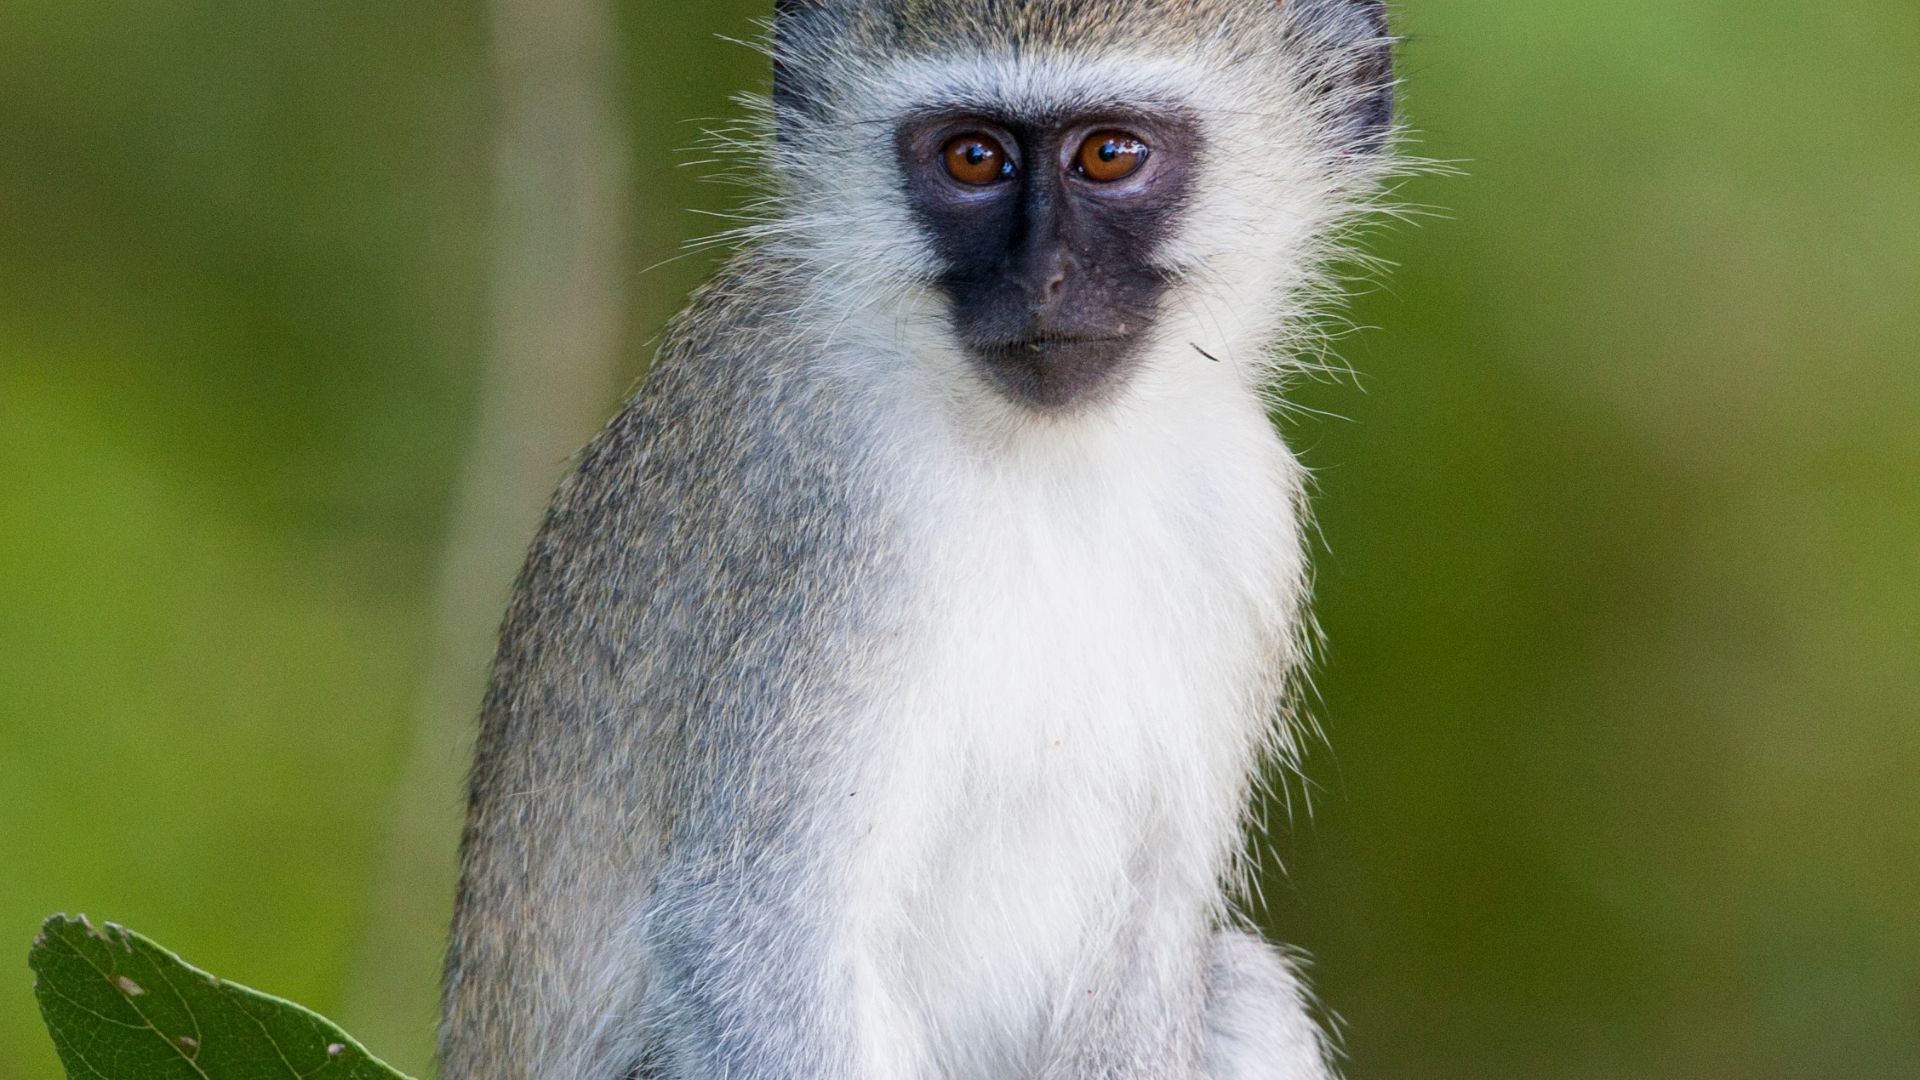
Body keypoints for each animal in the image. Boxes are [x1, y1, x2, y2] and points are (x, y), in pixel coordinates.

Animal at [441, 1, 1399, 1077]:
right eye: (973, 158)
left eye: (1110, 155)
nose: (1042, 280)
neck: (1051, 458)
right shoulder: (832, 500)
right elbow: (748, 931)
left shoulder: (1245, 514)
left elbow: (1153, 935)